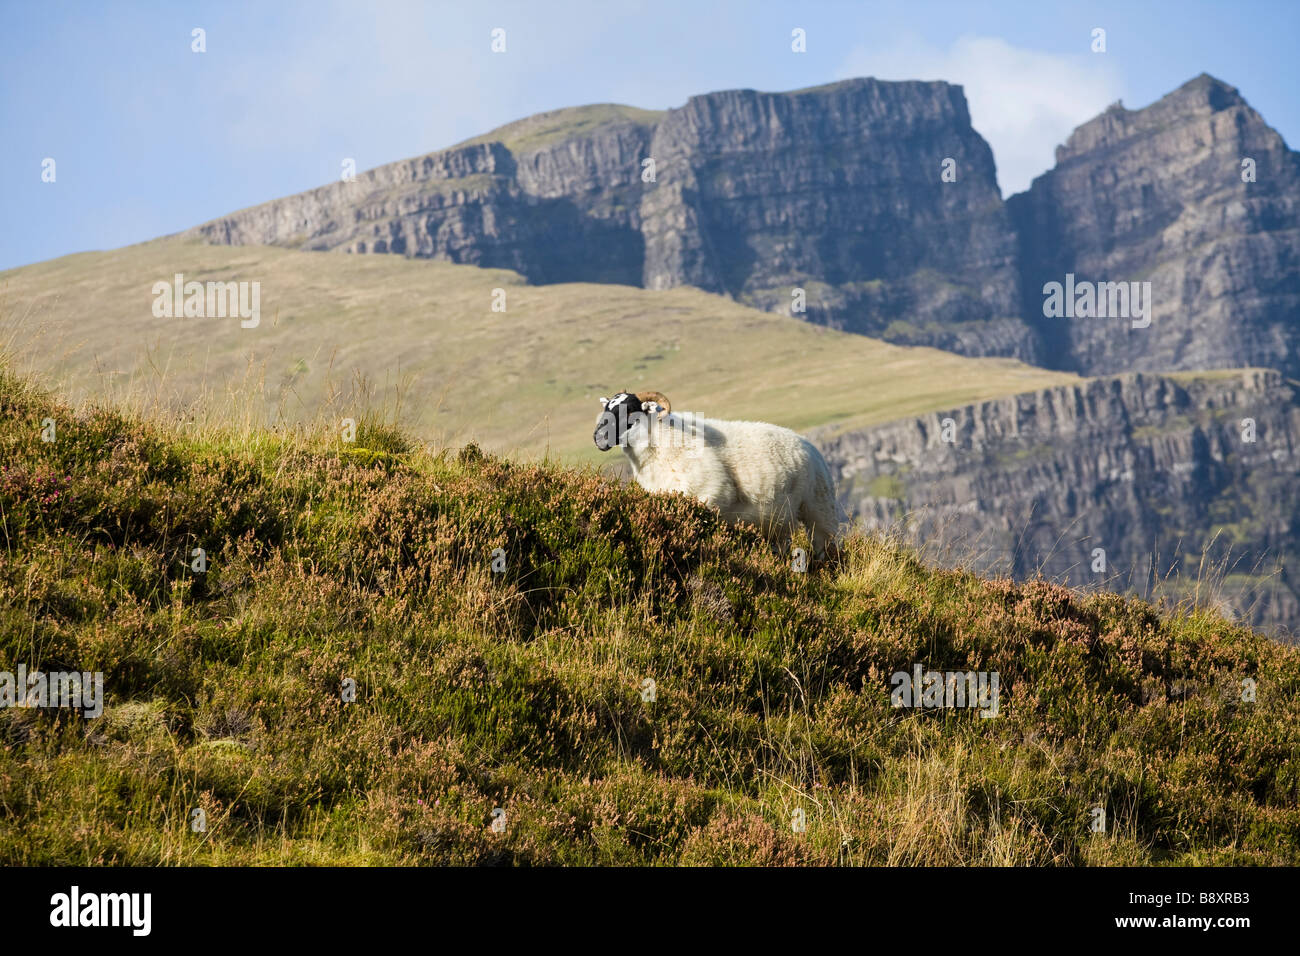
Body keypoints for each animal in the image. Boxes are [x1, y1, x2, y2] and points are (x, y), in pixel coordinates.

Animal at [593, 390, 842, 560]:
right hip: (778, 521)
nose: (598, 437)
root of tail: (809, 445)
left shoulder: (710, 494)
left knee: (823, 544)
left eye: (629, 410)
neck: (660, 441)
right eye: (607, 409)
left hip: (819, 509)